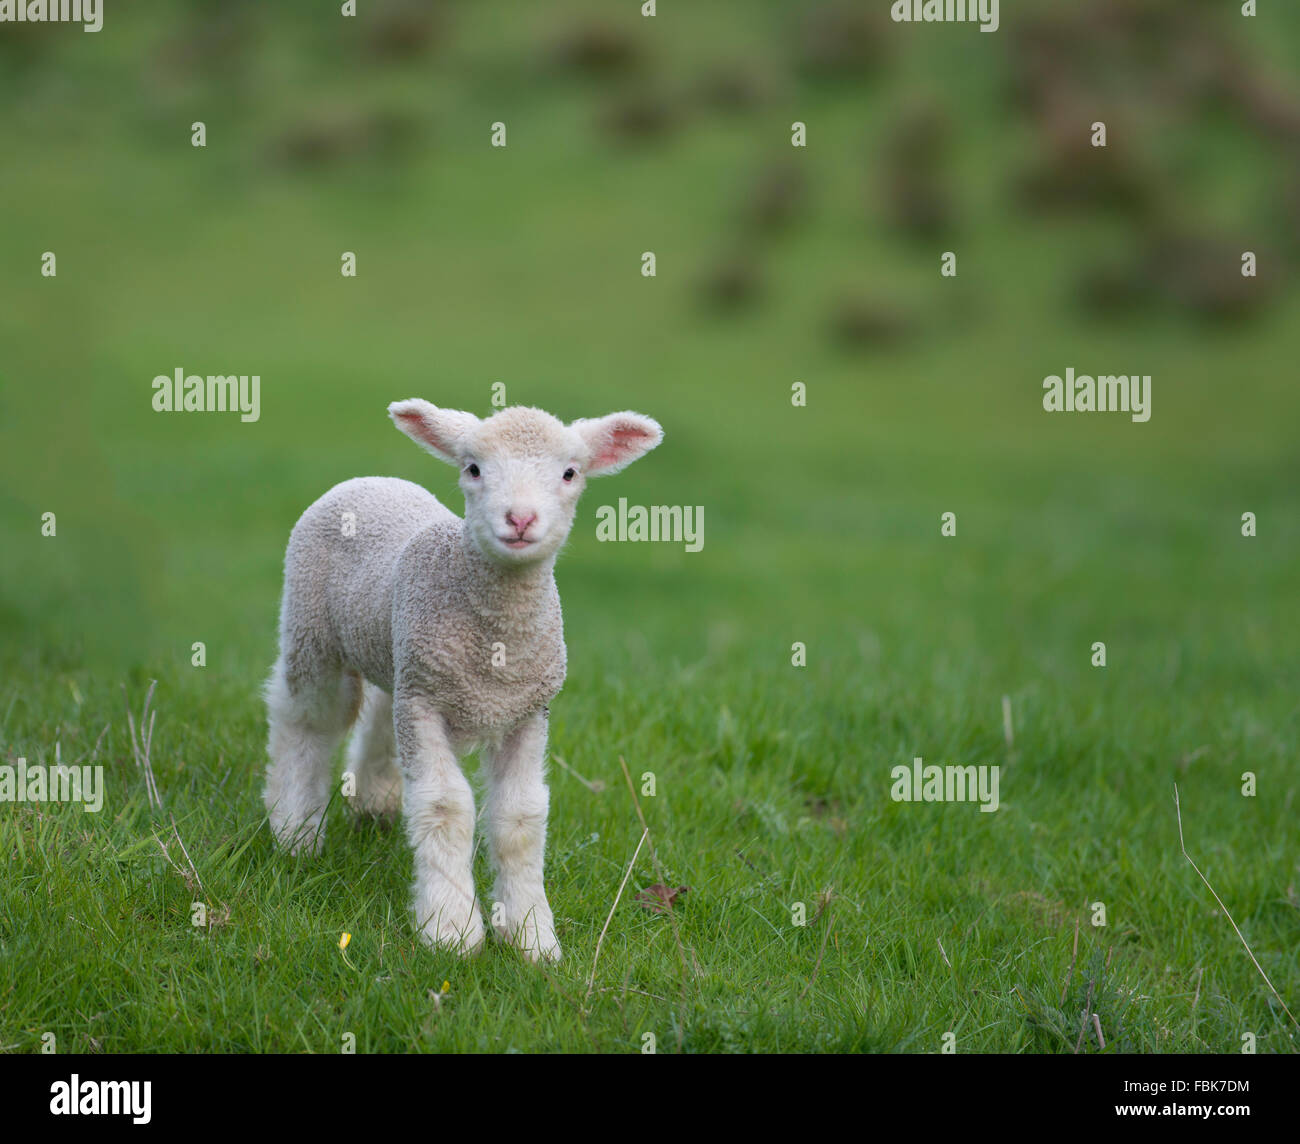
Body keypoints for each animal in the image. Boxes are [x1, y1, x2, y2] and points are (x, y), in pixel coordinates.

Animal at [263, 401, 663, 963]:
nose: (520, 519)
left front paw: (531, 935)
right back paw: (294, 828)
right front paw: (450, 929)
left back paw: (374, 801)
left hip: (400, 653)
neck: (495, 645)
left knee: (379, 711)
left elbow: (521, 818)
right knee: (306, 720)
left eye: (570, 473)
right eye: (473, 468)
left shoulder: (525, 710)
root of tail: (371, 480)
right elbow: (445, 806)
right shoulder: (426, 706)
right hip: (313, 630)